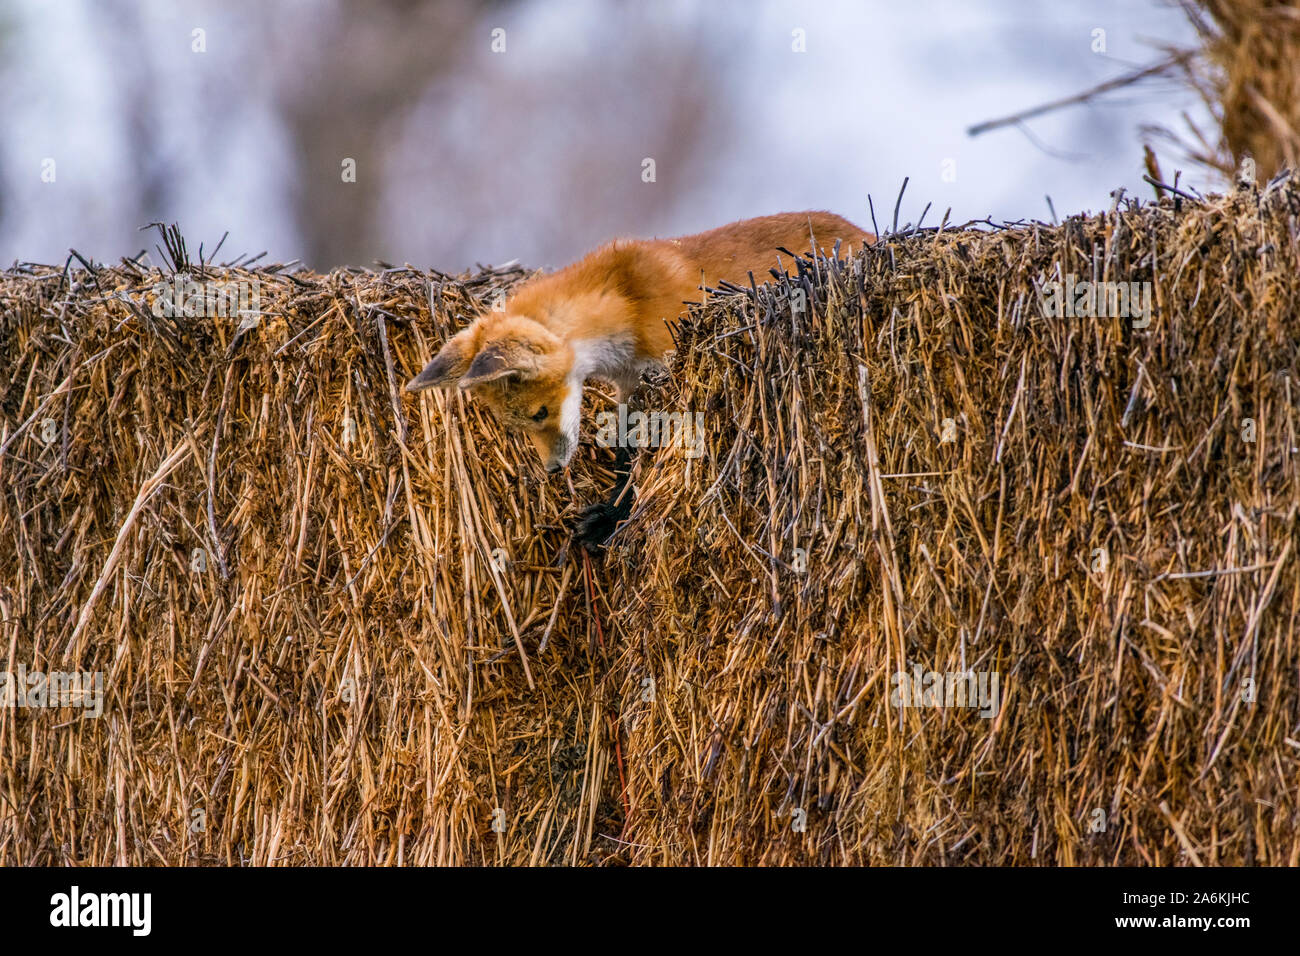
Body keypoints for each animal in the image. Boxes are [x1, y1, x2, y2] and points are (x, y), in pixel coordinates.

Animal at [406, 211, 873, 548]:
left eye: (540, 413)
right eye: (518, 425)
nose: (553, 469)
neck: (627, 302)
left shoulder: (669, 366)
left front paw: (613, 522)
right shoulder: (629, 385)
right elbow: (627, 458)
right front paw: (614, 513)